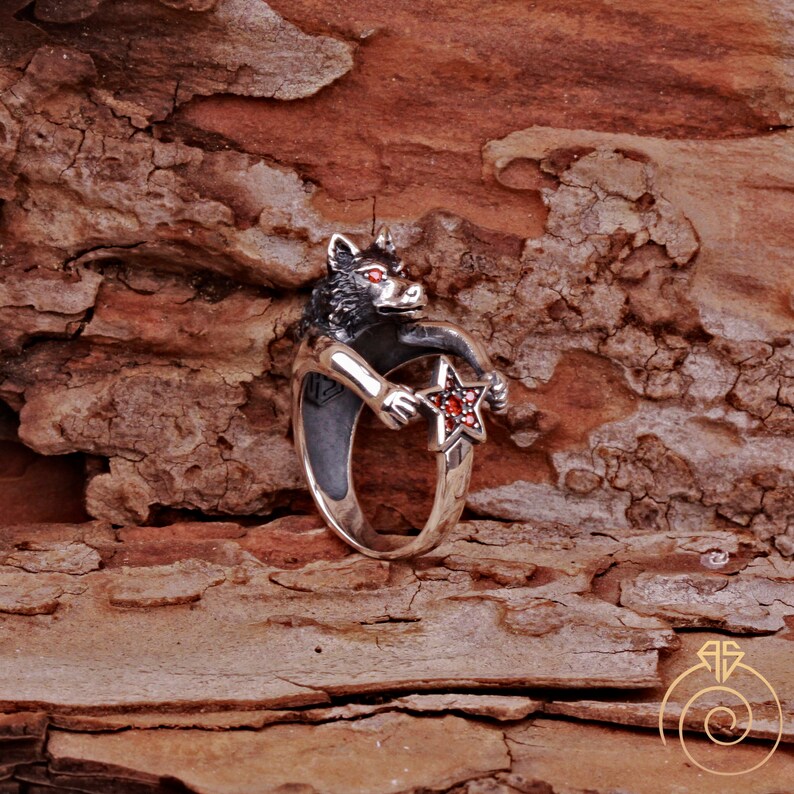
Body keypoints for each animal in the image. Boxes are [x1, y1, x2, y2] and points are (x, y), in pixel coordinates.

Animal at [294, 227, 508, 431]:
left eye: (403, 272)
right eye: (374, 275)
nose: (417, 290)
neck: (362, 323)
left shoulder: (405, 333)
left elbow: (451, 333)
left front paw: (494, 382)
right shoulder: (316, 339)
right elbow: (334, 353)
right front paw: (391, 398)